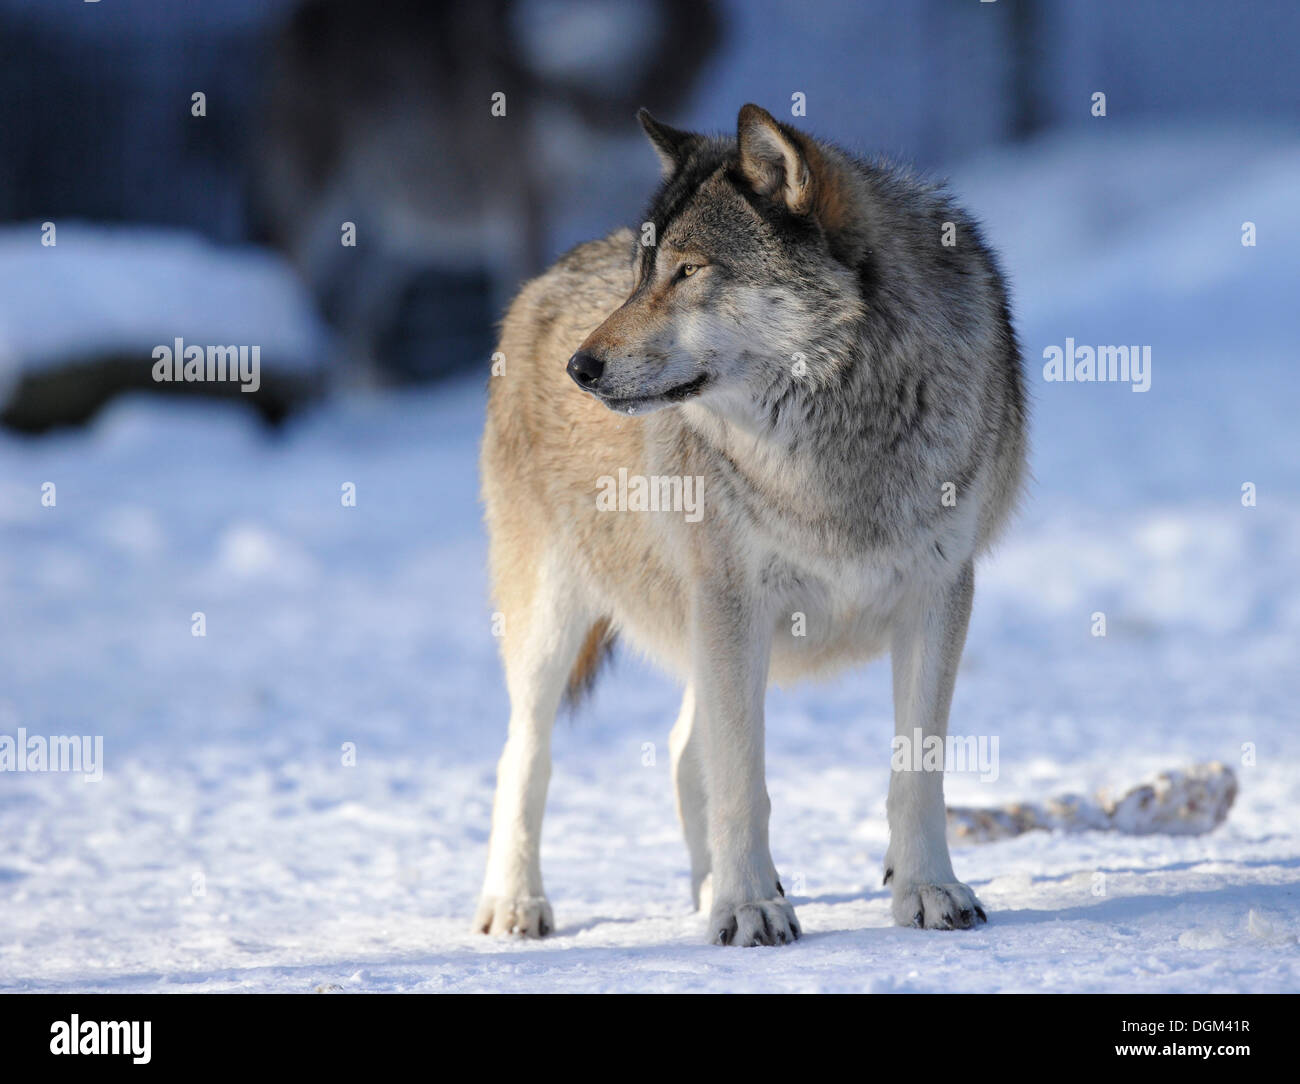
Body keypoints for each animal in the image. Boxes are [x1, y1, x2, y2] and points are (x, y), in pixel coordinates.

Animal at [476, 104, 1027, 946]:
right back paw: (517, 904)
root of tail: (540, 281)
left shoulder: (938, 596)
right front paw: (749, 909)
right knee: (524, 755)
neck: (838, 437)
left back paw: (706, 889)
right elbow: (743, 781)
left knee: (680, 753)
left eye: (688, 271)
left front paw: (929, 890)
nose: (580, 369)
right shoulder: (734, 601)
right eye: (643, 274)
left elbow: (916, 771)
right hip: (557, 622)